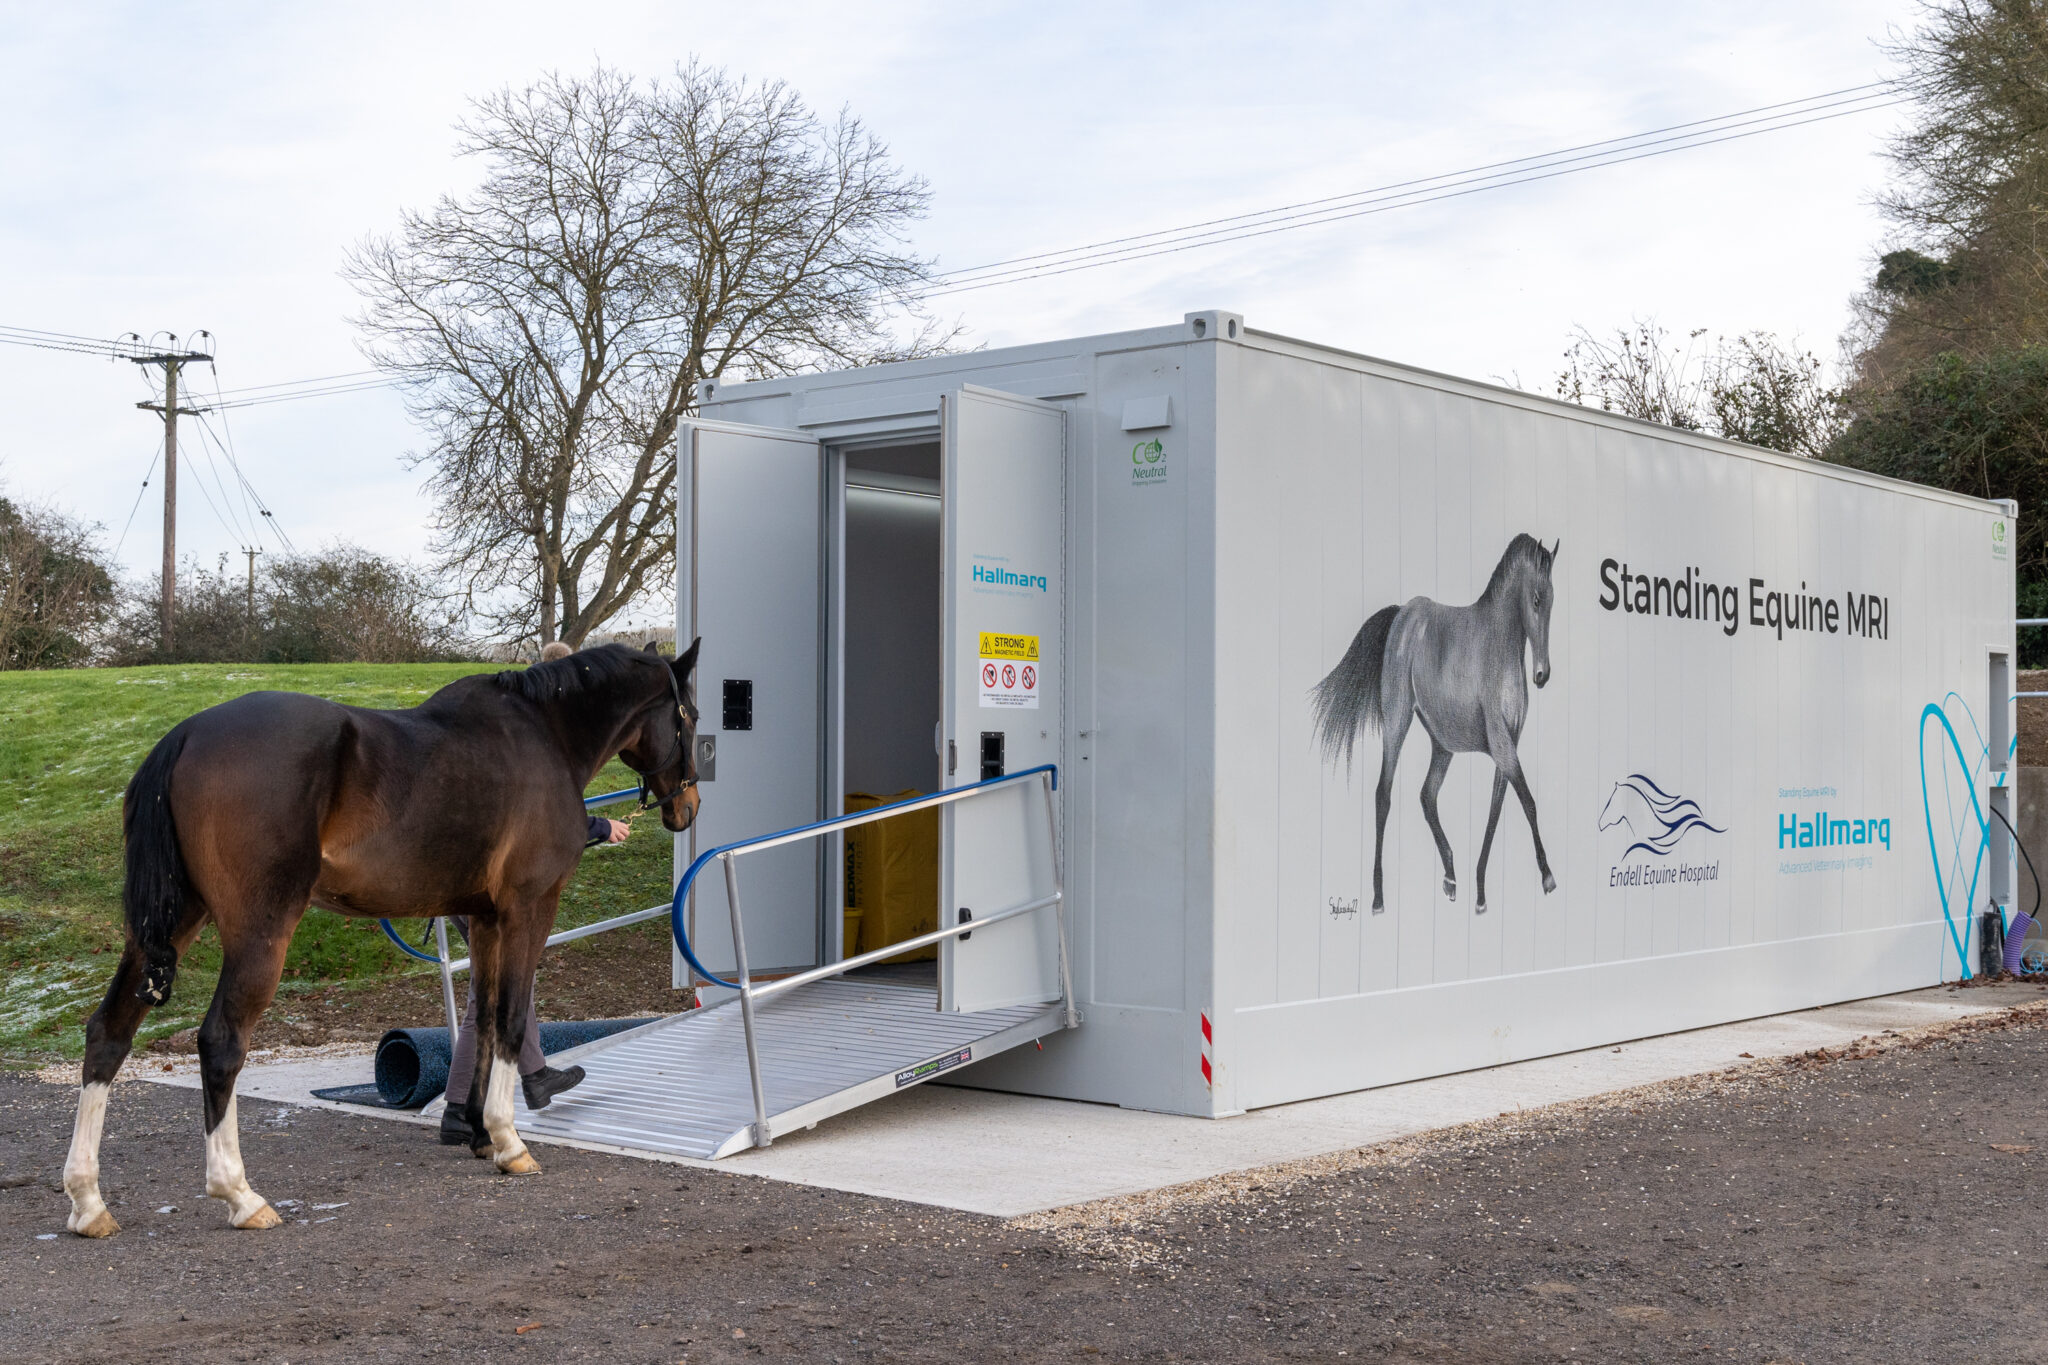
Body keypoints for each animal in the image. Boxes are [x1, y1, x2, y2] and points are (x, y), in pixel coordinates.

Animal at [61, 640, 701, 1238]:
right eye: (690, 714)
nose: (688, 806)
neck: (544, 735)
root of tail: (188, 733)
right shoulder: (528, 908)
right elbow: (512, 1018)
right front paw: (509, 1141)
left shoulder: (485, 920)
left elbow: (484, 1022)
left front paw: (477, 1133)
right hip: (259, 933)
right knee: (221, 1042)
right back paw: (240, 1194)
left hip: (169, 925)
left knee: (109, 1033)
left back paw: (89, 1201)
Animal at [1312, 534, 1558, 914]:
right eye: (1535, 599)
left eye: (1554, 600)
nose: (1542, 675)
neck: (1498, 647)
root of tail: (1403, 613)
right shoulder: (1501, 744)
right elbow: (1528, 802)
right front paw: (1547, 877)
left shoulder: (1507, 747)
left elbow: (1495, 812)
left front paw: (1481, 895)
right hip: (1396, 723)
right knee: (1384, 795)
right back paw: (1378, 898)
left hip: (1441, 745)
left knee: (1427, 795)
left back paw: (1450, 879)